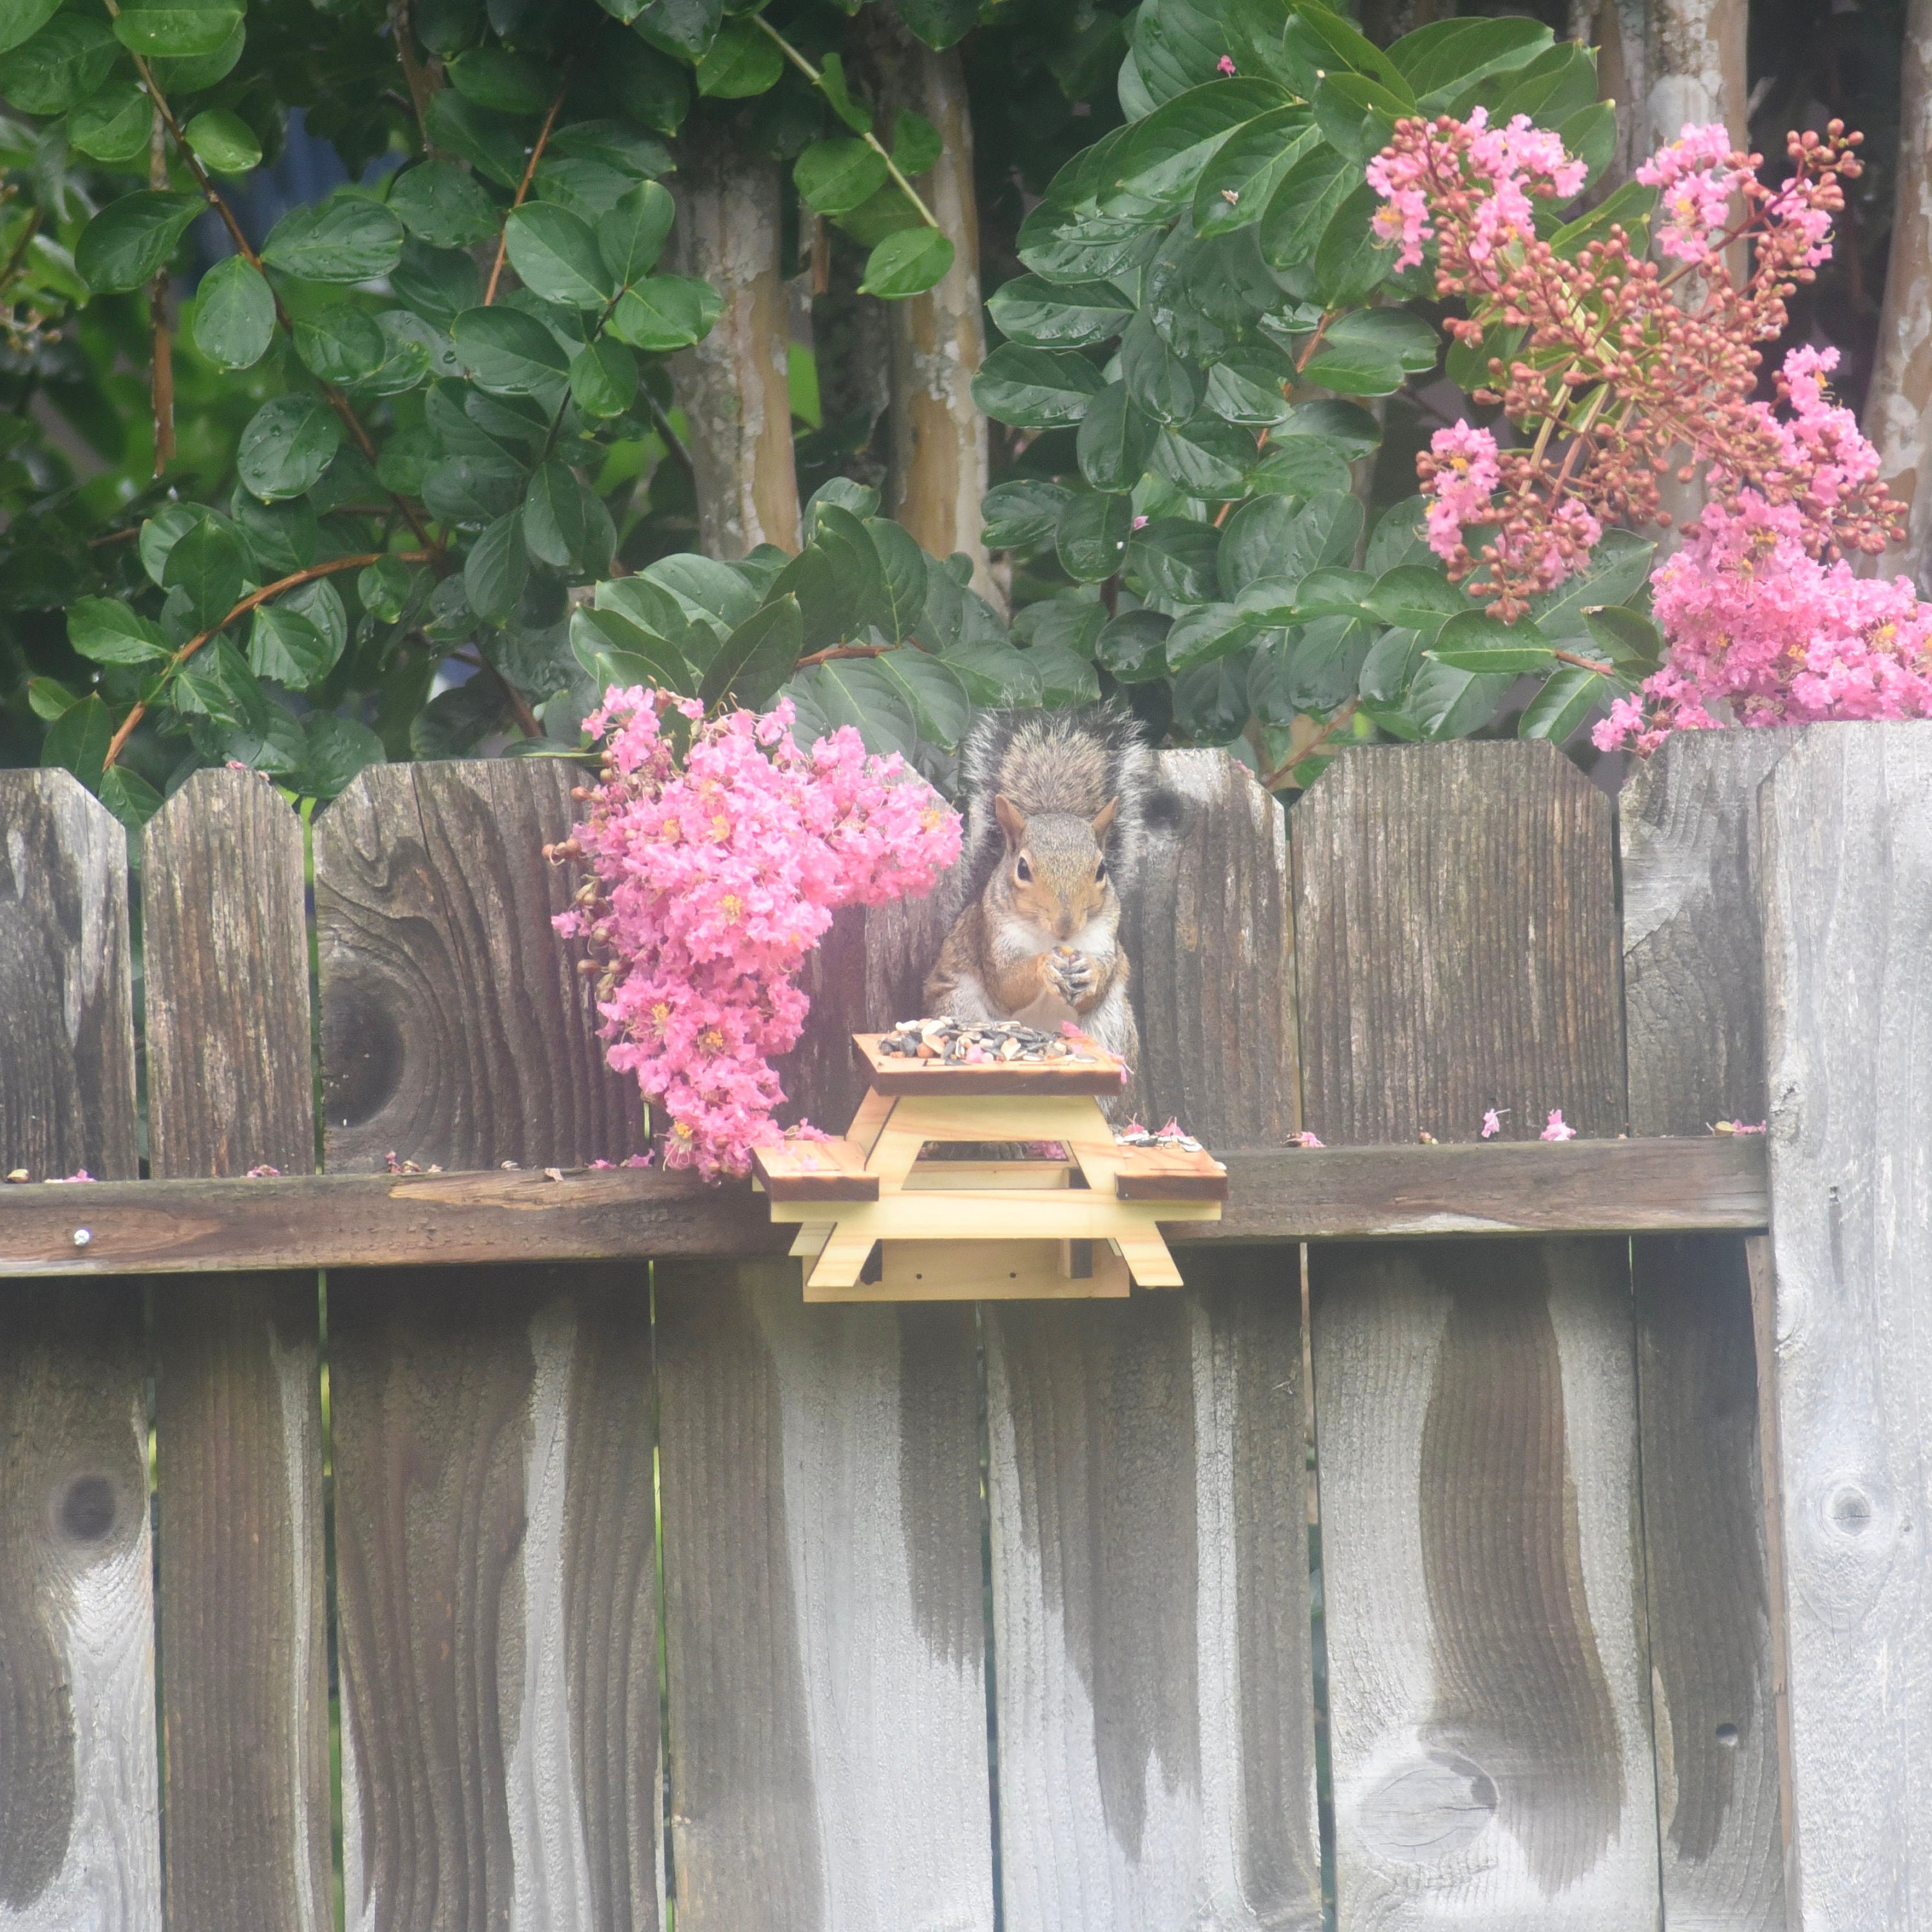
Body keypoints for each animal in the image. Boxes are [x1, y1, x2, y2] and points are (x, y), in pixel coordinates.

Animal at [923, 704, 1156, 1115]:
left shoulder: (1104, 938)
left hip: (1112, 1029)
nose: (1066, 924)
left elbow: (1100, 980)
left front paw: (1089, 972)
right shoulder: (992, 937)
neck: (1051, 939)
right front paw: (1043, 967)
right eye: (1023, 869)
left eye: (1101, 870)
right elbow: (1008, 985)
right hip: (959, 1005)